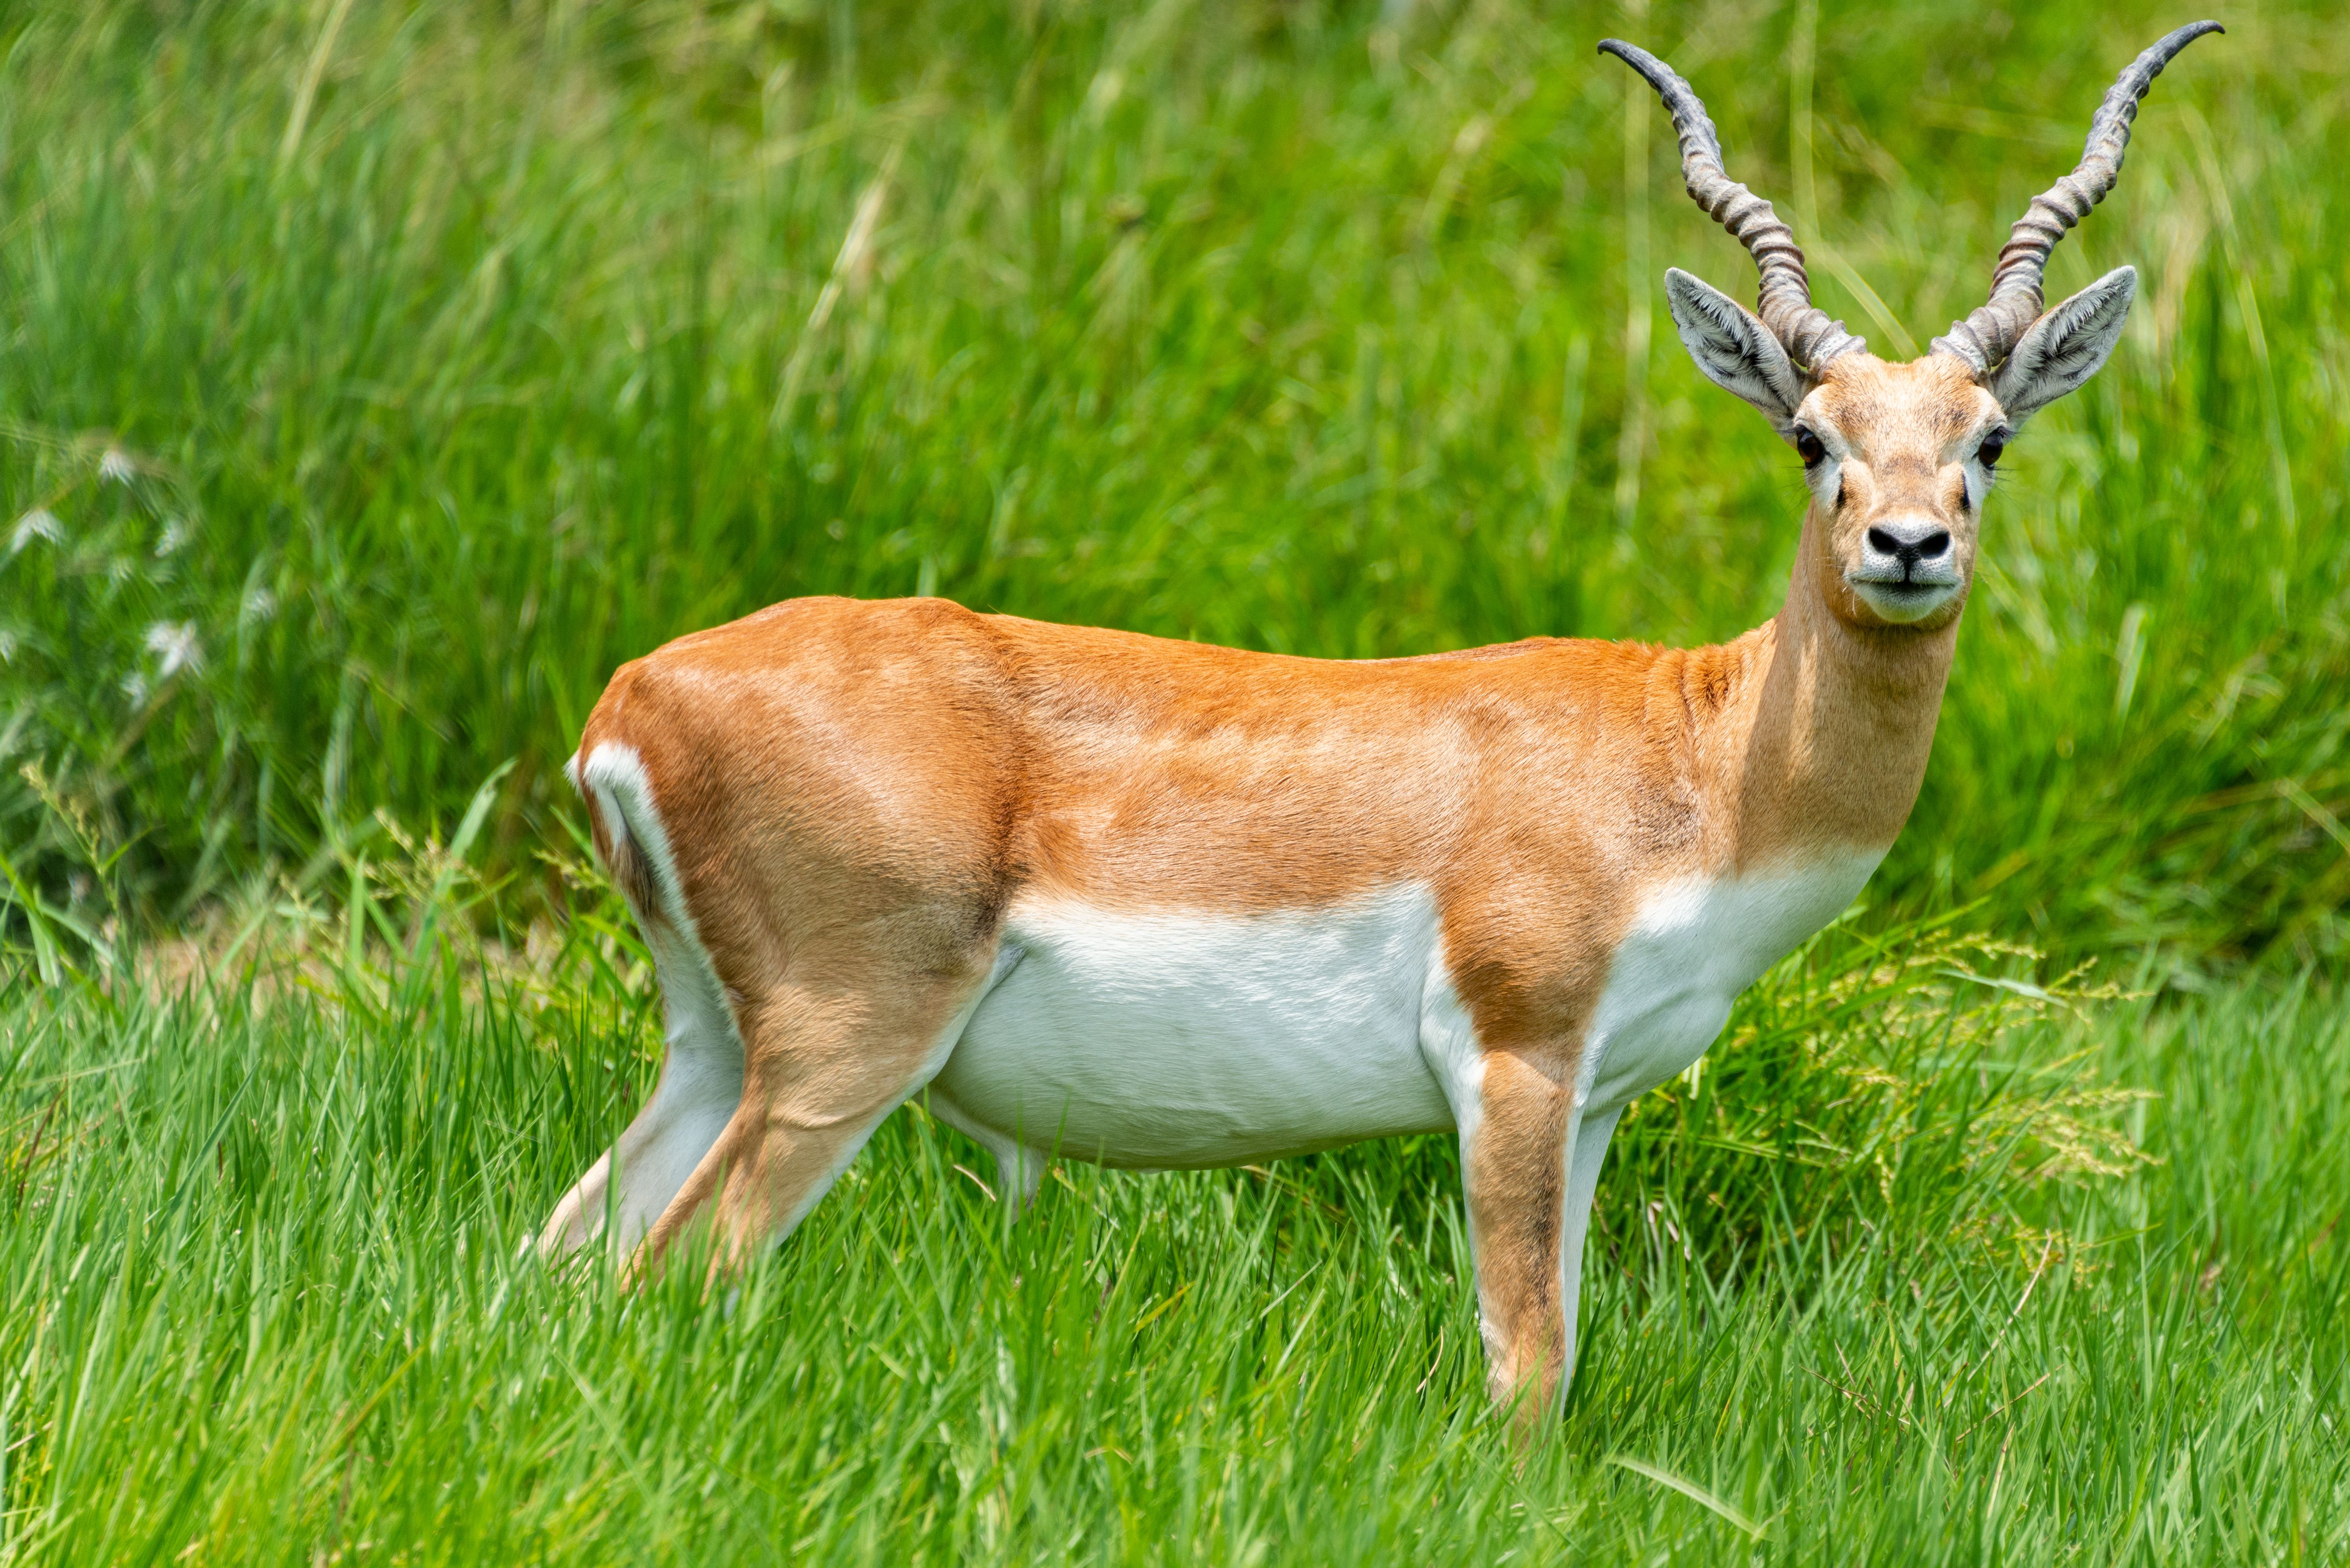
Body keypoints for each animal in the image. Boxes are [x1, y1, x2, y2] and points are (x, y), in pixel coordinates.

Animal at [537, 24, 2219, 1425]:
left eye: (1984, 440)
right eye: (1809, 437)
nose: (1904, 547)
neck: (1697, 758)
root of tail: (639, 690)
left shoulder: (1594, 1094)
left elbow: (1564, 1335)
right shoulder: (1512, 1054)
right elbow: (1525, 1357)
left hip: (714, 1038)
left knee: (573, 1242)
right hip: (847, 1042)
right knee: (677, 1260)